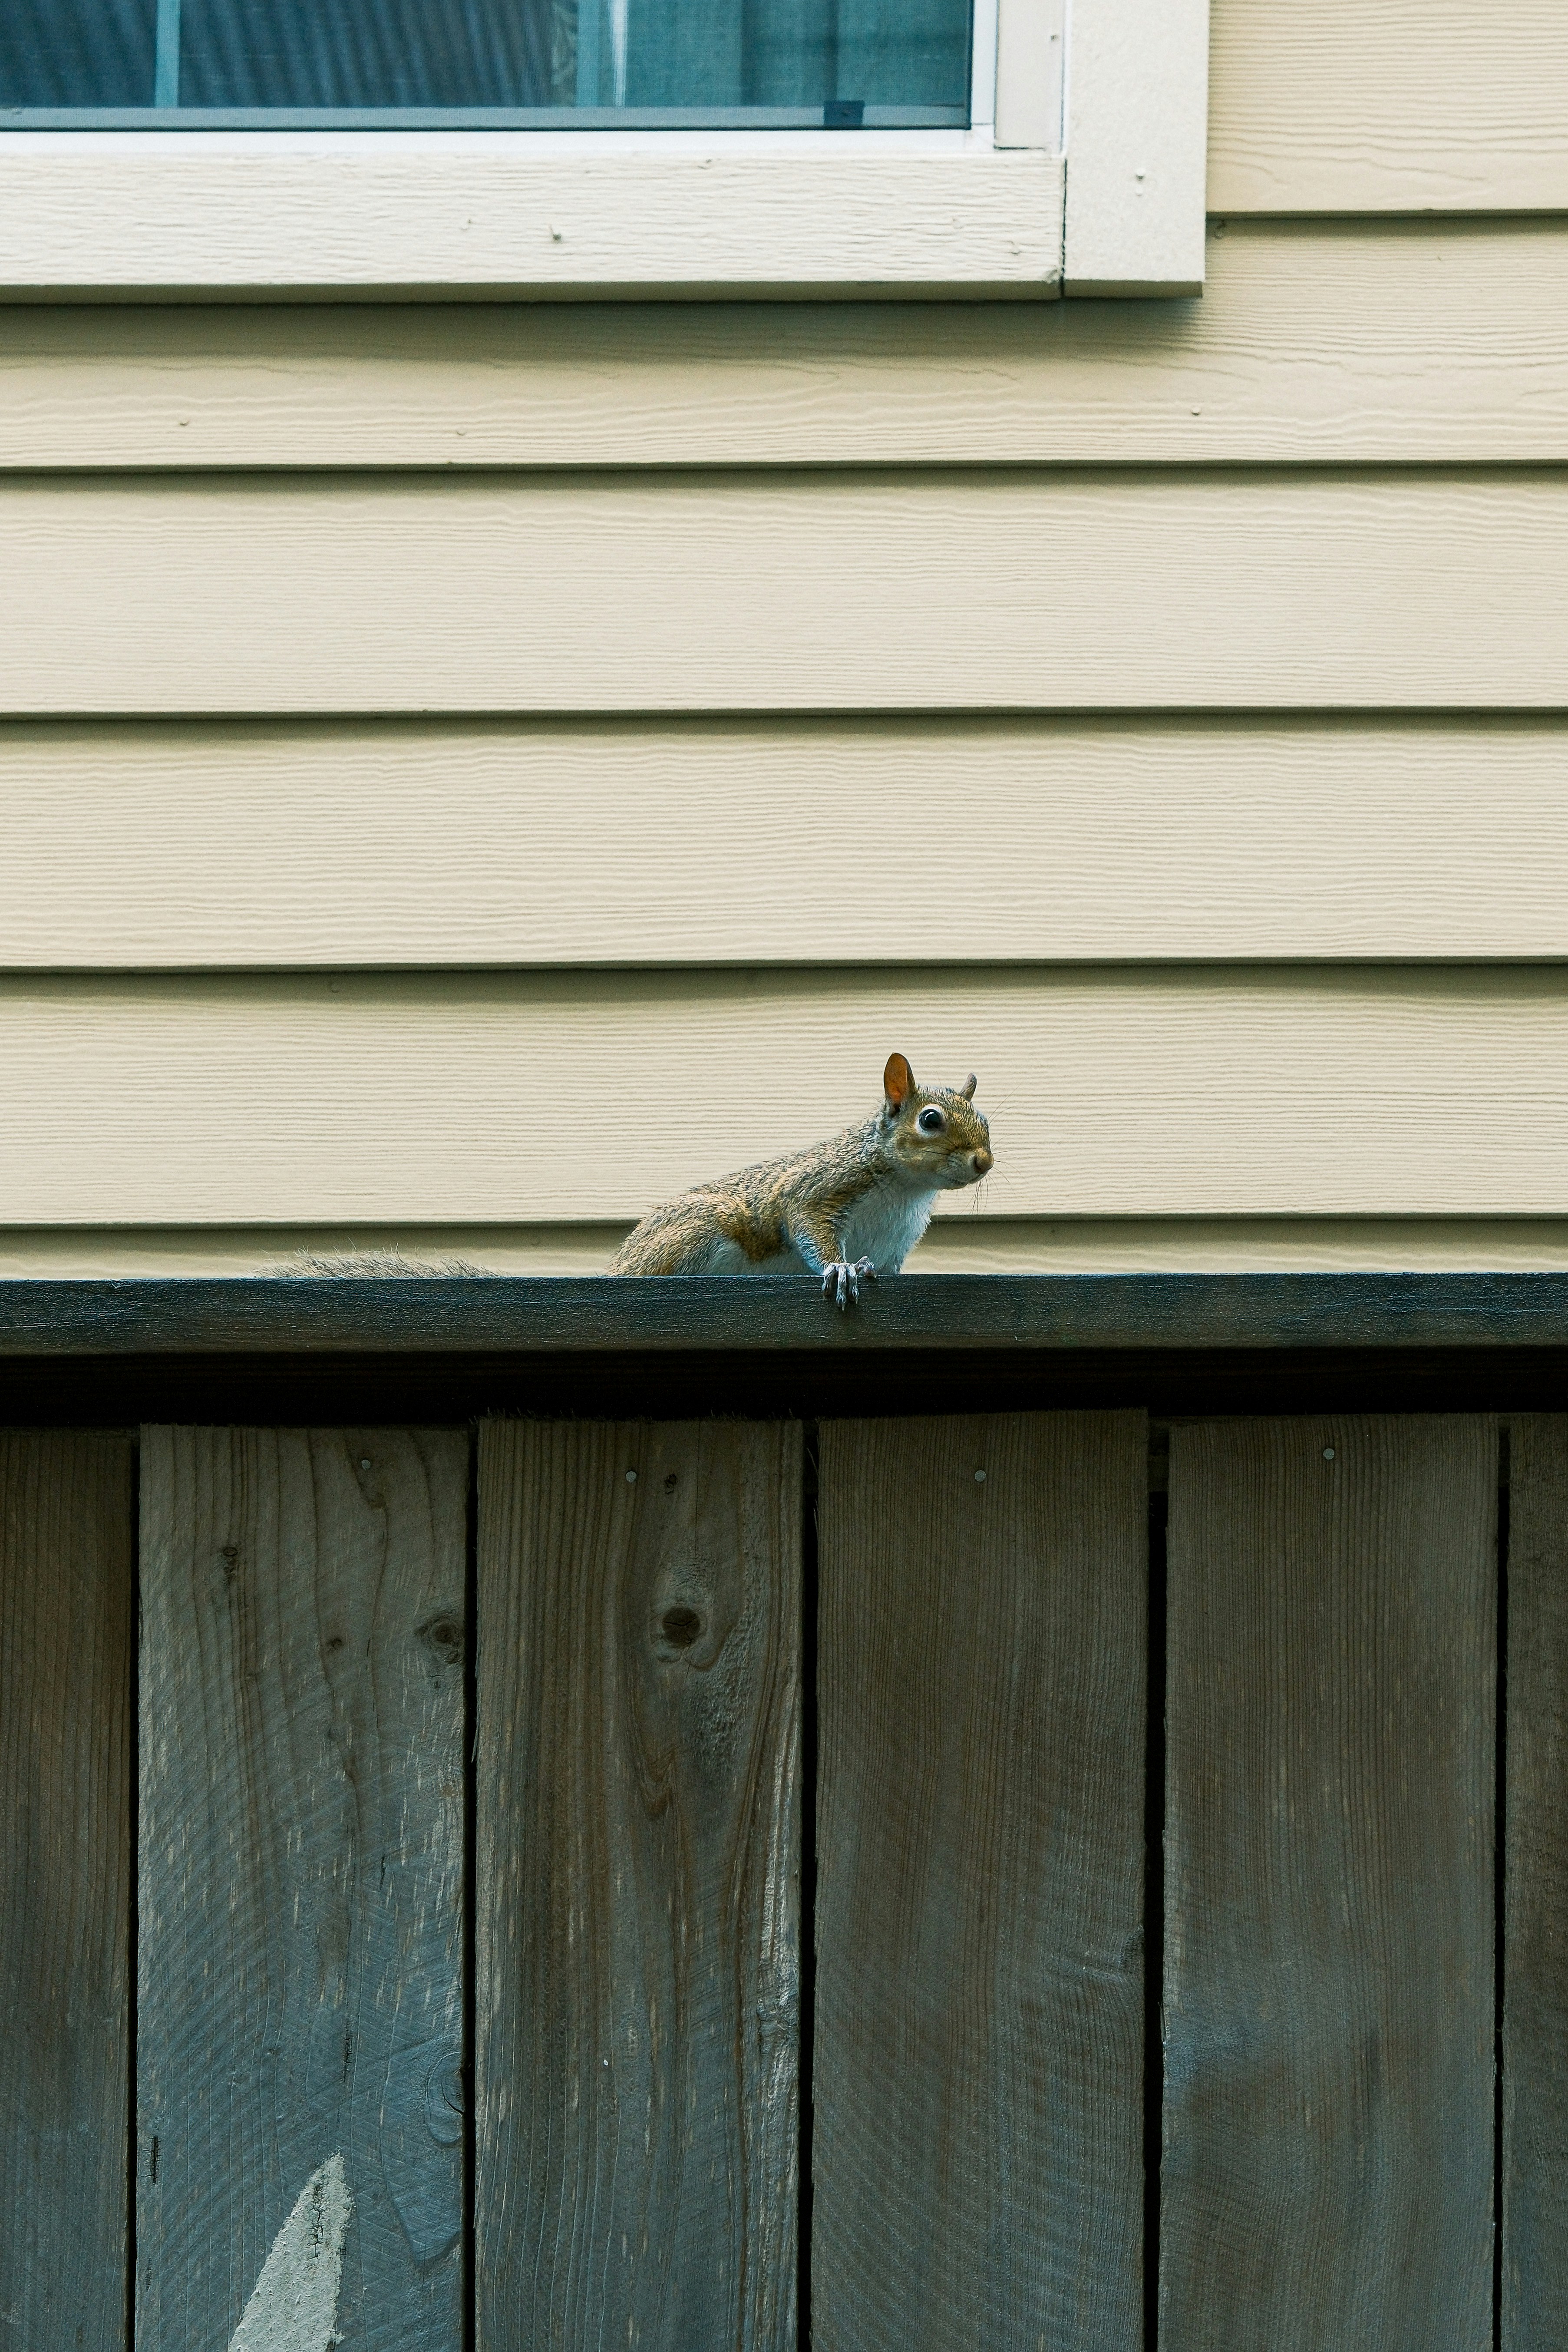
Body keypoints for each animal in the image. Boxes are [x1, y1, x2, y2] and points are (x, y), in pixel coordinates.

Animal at [609, 1052, 993, 1307]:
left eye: (985, 1121)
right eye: (930, 1120)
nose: (984, 1161)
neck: (907, 1189)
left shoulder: (895, 1245)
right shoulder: (819, 1190)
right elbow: (808, 1227)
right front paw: (842, 1269)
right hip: (697, 1230)